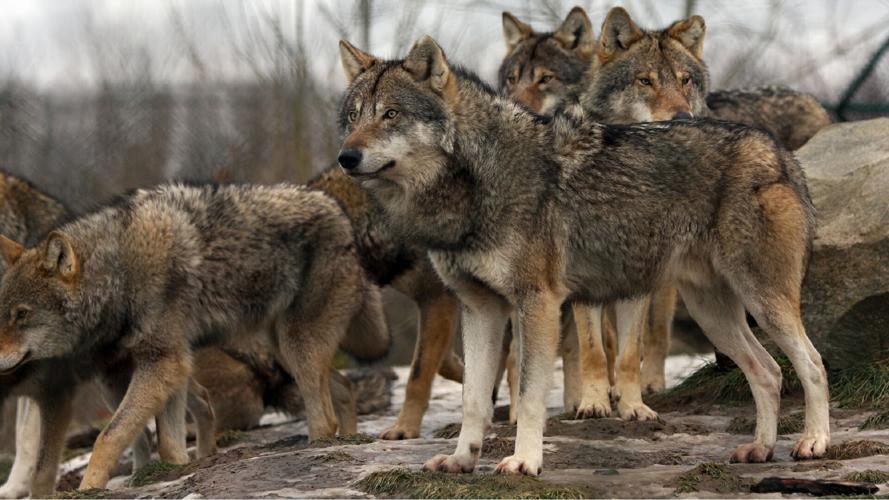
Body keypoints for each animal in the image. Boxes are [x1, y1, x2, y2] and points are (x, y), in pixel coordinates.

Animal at [0, 182, 382, 491]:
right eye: (4, 313)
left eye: (22, 315)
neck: (119, 272)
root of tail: (338, 211)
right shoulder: (164, 363)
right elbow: (165, 441)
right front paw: (177, 470)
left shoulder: (163, 362)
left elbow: (109, 436)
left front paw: (90, 487)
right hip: (284, 349)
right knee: (344, 387)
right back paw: (352, 439)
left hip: (295, 346)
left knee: (324, 416)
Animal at [338, 36, 830, 474]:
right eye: (354, 116)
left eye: (391, 114)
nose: (346, 156)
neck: (476, 180)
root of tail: (779, 152)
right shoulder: (479, 310)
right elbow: (474, 400)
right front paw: (461, 460)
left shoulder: (537, 304)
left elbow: (530, 395)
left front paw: (524, 462)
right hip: (714, 313)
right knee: (768, 372)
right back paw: (760, 449)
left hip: (763, 303)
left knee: (812, 364)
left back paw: (813, 443)